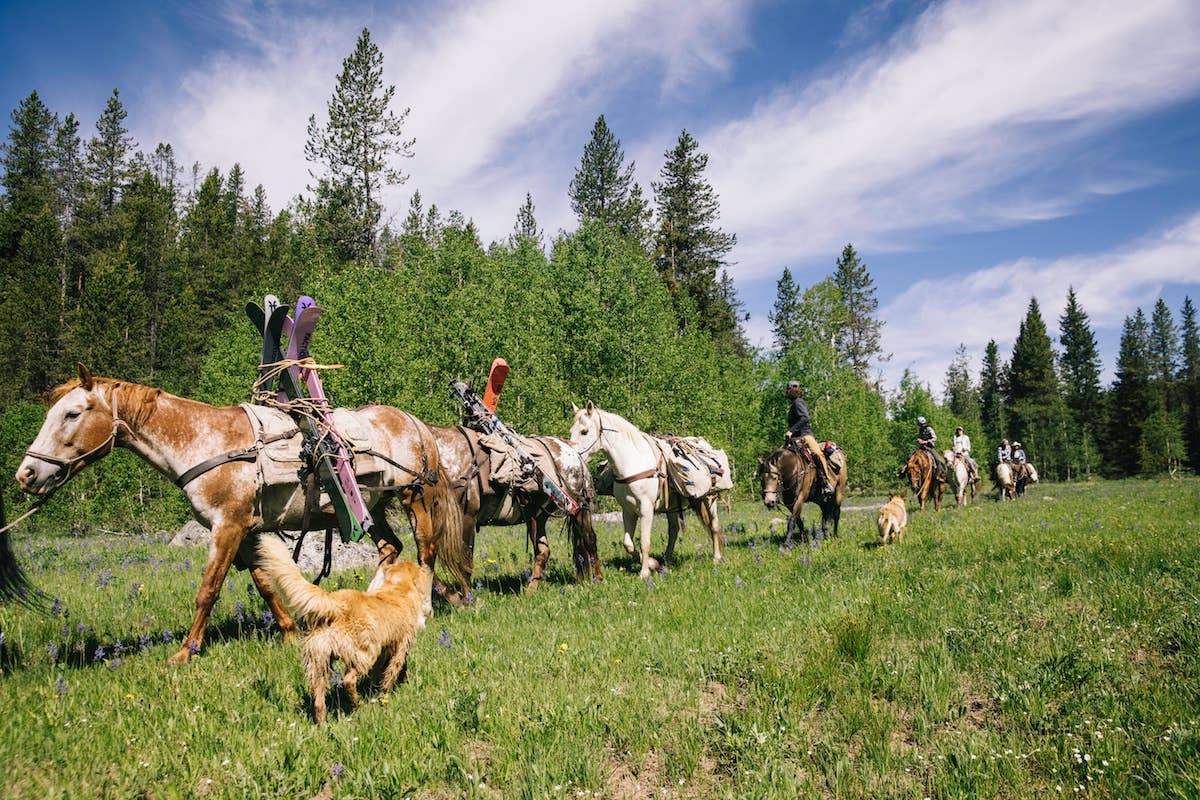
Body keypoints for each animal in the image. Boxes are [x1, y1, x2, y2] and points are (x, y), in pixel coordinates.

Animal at [10, 366, 468, 664]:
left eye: (73, 413)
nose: (27, 474)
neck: (205, 442)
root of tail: (413, 422)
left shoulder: (227, 527)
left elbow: (208, 589)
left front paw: (186, 651)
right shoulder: (247, 531)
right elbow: (266, 585)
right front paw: (290, 634)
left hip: (414, 497)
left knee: (425, 553)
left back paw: (424, 609)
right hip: (372, 507)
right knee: (391, 547)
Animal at [430, 425, 602, 592]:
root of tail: (574, 454)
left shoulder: (467, 518)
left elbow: (465, 563)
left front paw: (467, 597)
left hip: (579, 510)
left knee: (589, 540)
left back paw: (598, 578)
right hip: (539, 516)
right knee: (545, 551)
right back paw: (533, 589)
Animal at [567, 402, 723, 579]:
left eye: (584, 431)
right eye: (571, 431)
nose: (572, 455)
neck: (634, 462)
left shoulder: (646, 510)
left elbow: (644, 541)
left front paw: (644, 572)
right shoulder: (628, 511)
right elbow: (628, 544)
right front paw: (653, 564)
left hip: (709, 499)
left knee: (714, 525)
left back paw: (716, 558)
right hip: (672, 507)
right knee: (674, 531)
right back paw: (666, 562)